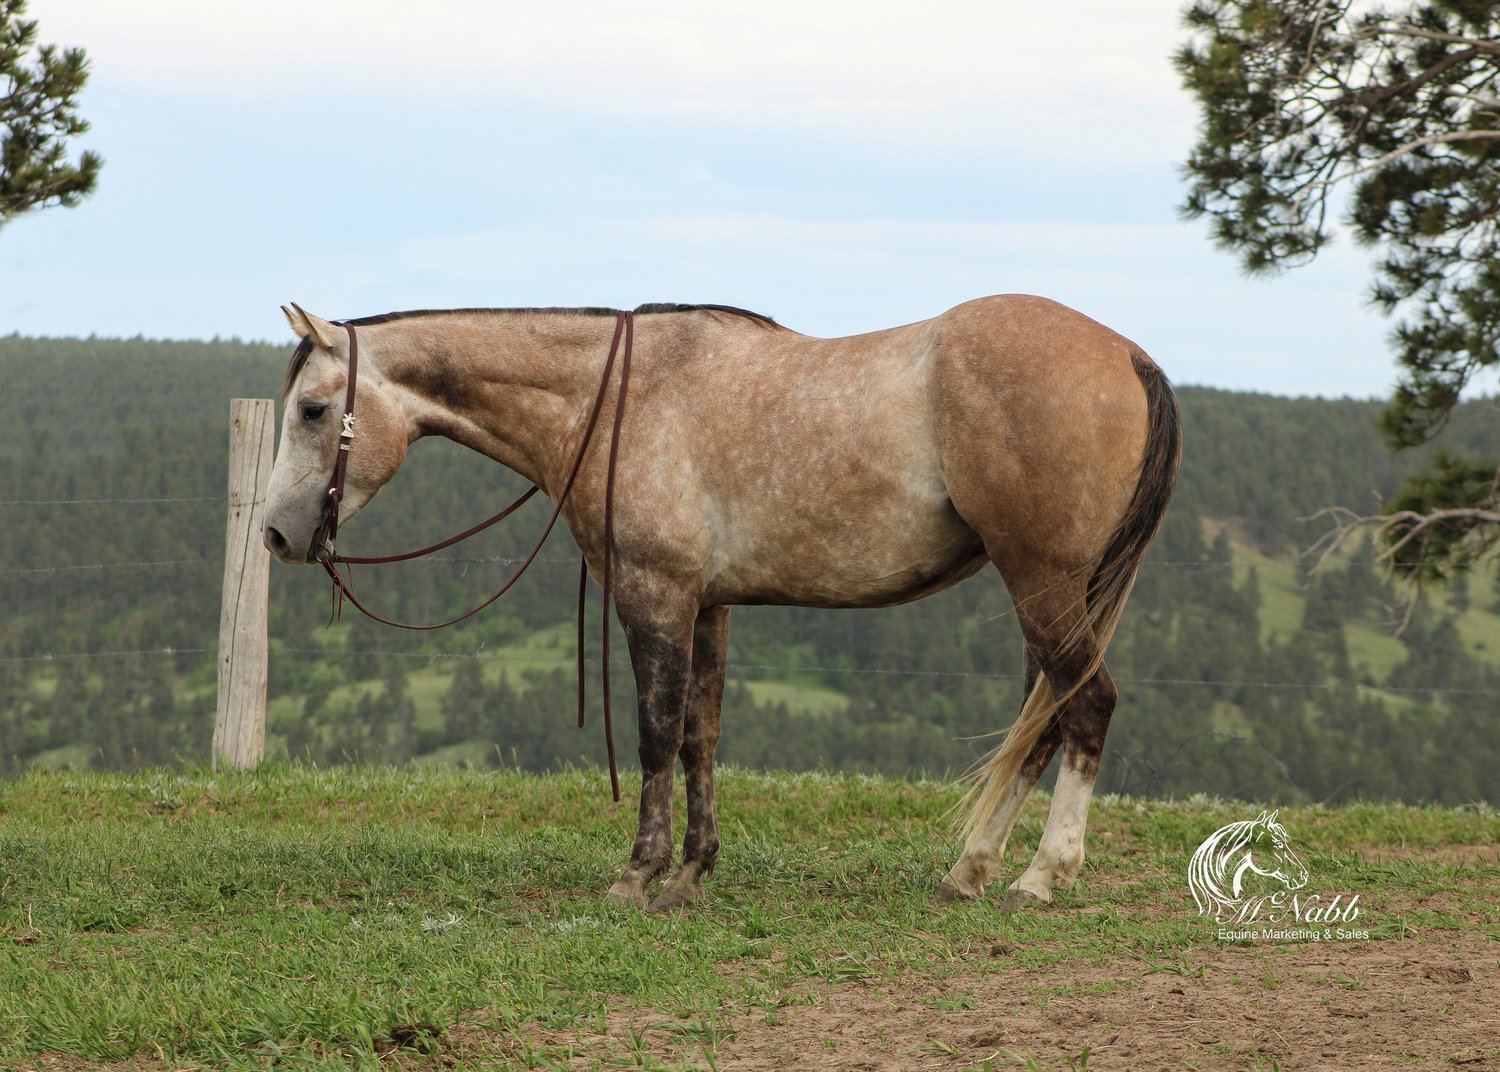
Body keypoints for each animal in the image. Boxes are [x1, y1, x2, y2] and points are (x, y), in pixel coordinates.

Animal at [263, 296, 1180, 913]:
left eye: (313, 409)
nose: (276, 533)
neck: (618, 397)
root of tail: (1131, 356)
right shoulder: (709, 607)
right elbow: (700, 735)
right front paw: (693, 872)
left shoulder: (655, 594)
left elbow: (656, 734)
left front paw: (637, 874)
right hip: (1050, 591)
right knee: (1045, 718)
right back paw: (971, 871)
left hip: (1043, 582)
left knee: (1086, 705)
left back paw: (1041, 875)